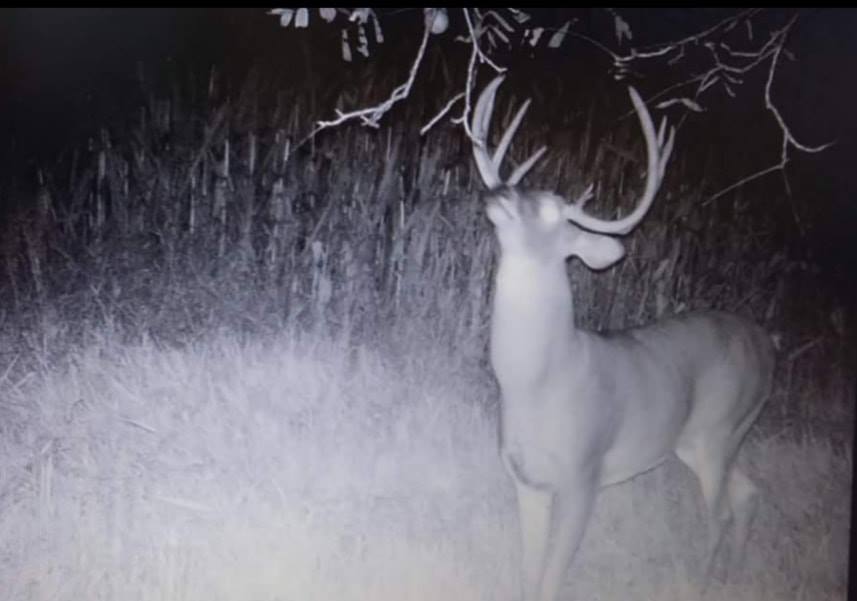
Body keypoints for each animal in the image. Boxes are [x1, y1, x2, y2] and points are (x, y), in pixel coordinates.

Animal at [471, 75, 775, 601]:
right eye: (523, 186)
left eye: (554, 213)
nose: (501, 192)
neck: (539, 383)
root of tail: (769, 345)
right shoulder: (525, 480)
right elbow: (530, 574)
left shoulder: (583, 474)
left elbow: (552, 577)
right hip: (713, 439)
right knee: (750, 492)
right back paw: (735, 576)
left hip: (719, 430)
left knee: (720, 513)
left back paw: (702, 583)